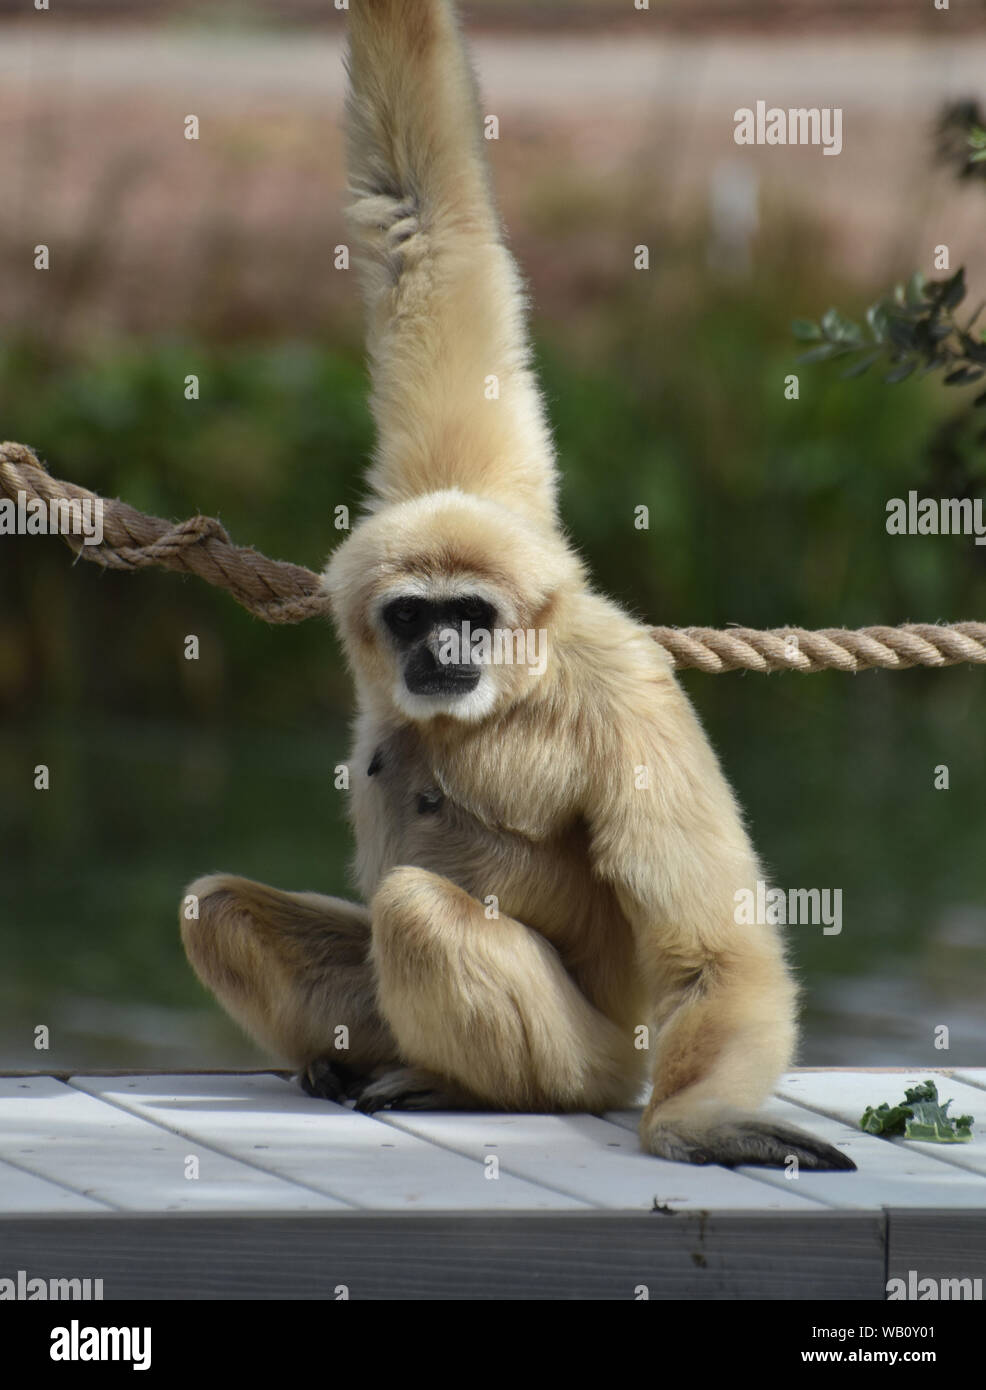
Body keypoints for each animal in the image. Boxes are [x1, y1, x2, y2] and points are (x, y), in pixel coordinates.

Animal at [179, 0, 854, 1171]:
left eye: (471, 616)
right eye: (413, 613)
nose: (438, 650)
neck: (515, 687)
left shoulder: (624, 686)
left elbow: (709, 953)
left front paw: (701, 1123)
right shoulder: (472, 493)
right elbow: (425, 226)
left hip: (594, 1055)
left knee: (415, 911)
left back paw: (467, 1089)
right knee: (216, 907)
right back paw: (350, 1063)